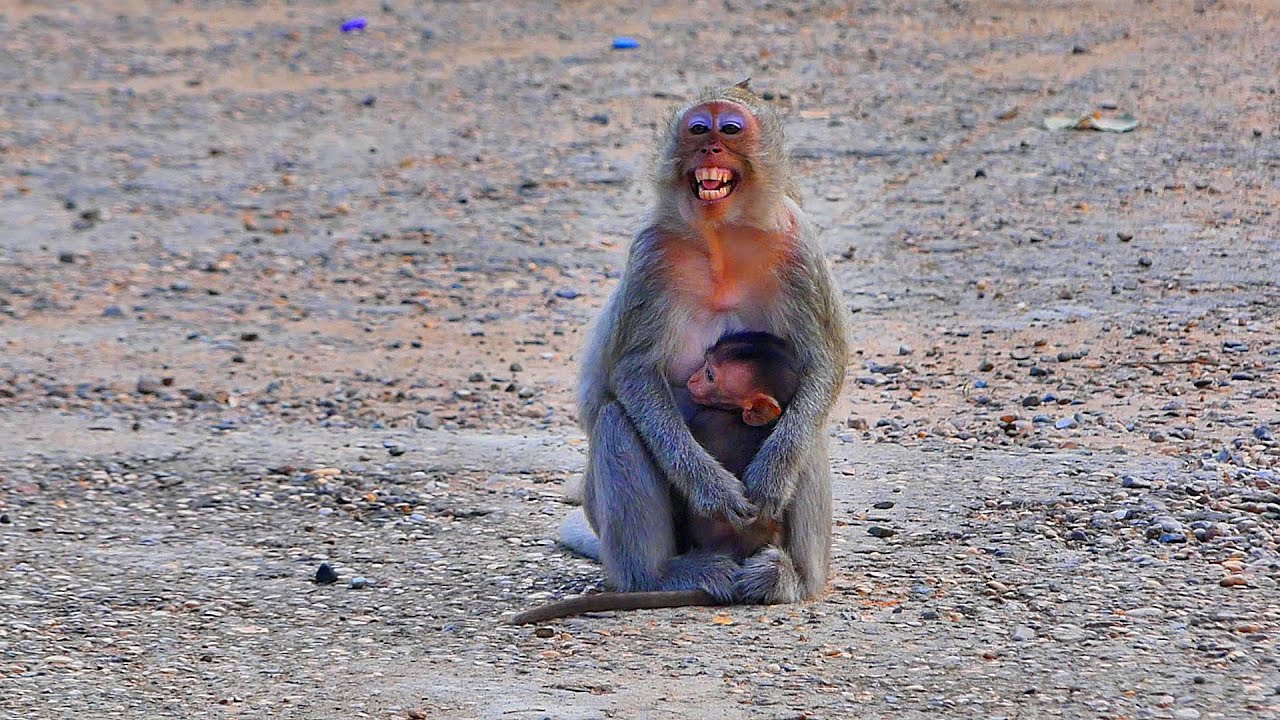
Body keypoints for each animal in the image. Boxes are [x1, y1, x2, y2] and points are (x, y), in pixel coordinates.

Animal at [514, 80, 849, 625]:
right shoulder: (650, 253)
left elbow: (823, 360)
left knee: (807, 432)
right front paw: (711, 489)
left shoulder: (799, 244)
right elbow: (633, 372)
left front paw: (772, 477)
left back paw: (791, 577)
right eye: (697, 128)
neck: (720, 236)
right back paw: (657, 577)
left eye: (729, 129)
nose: (709, 147)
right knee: (616, 421)